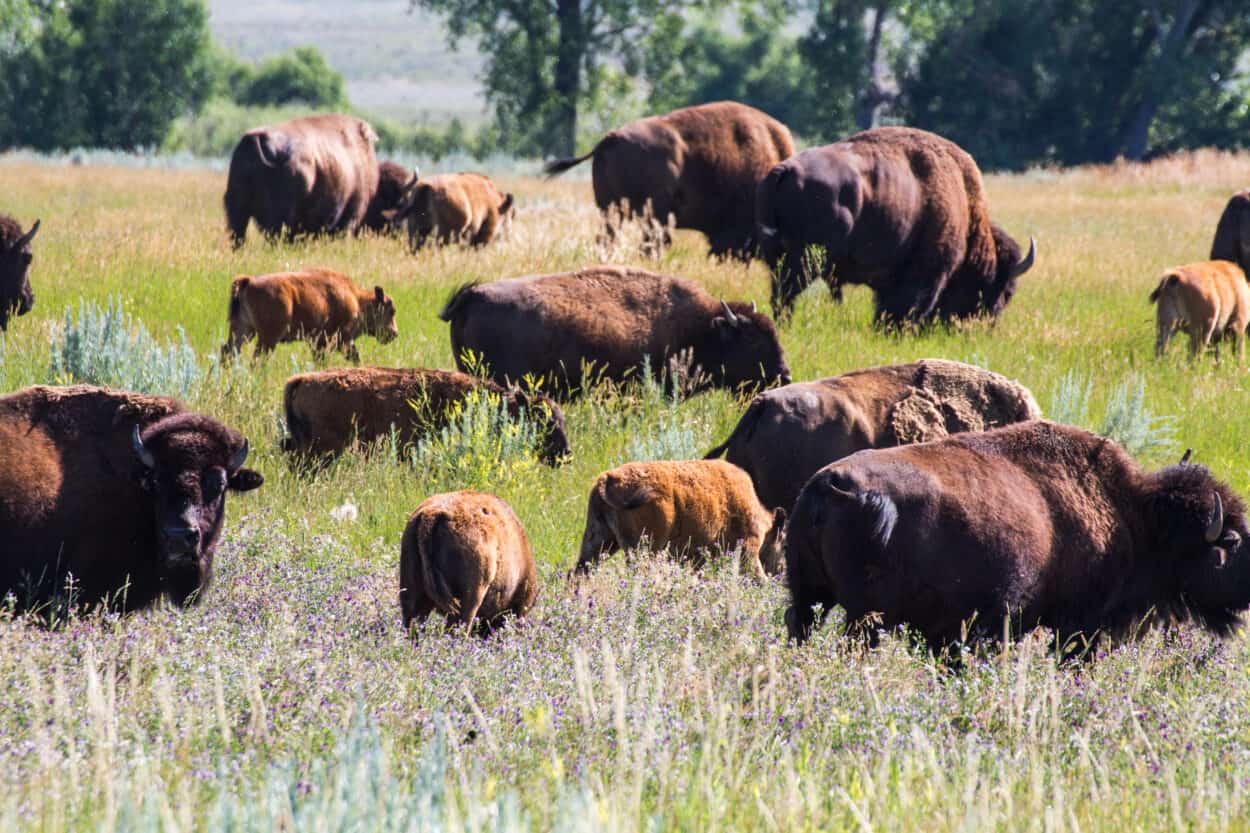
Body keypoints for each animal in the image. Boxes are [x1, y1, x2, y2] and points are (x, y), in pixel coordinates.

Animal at [221, 268, 399, 362]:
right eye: (391, 310)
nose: (394, 333)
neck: (356, 298)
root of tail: (249, 282)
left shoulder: (319, 342)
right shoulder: (339, 339)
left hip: (243, 331)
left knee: (229, 351)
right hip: (267, 338)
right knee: (257, 359)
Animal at [576, 460, 787, 581]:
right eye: (784, 545)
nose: (783, 571)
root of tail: (608, 478)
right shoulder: (748, 550)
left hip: (599, 540)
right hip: (646, 548)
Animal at [756, 126, 1036, 323]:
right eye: (1004, 291)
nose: (987, 324)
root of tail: (785, 169)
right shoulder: (927, 275)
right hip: (804, 262)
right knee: (786, 296)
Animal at [784, 421, 1250, 651]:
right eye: (1233, 542)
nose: (1247, 595)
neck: (1133, 516)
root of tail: (827, 484)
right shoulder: (1077, 626)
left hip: (808, 597)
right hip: (864, 618)